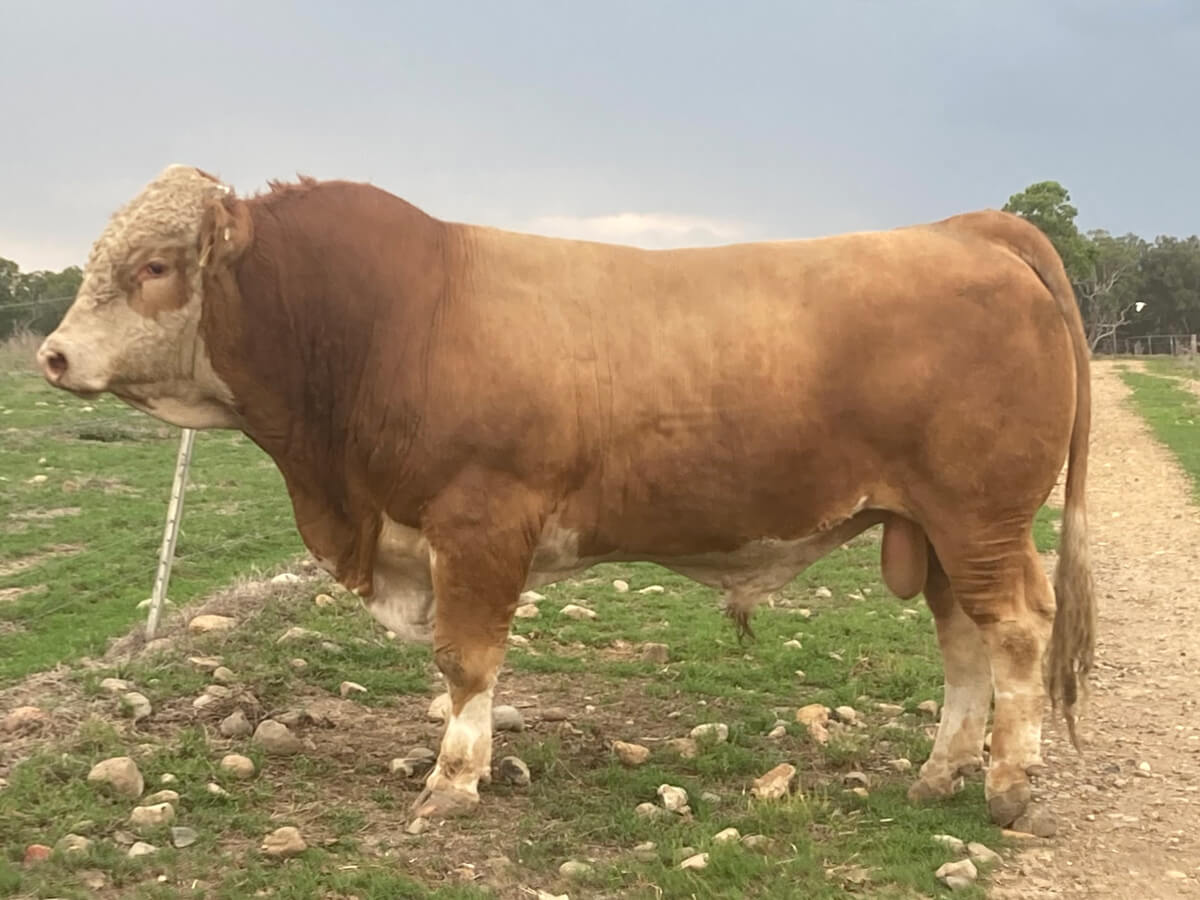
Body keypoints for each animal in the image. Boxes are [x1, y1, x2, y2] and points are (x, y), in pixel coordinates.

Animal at [36, 164, 1095, 829]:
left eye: (155, 266)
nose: (50, 354)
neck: (387, 319)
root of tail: (968, 230)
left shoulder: (478, 524)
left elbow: (466, 661)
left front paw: (453, 781)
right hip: (937, 528)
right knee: (964, 641)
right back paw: (939, 774)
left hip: (981, 518)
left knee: (1017, 631)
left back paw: (1006, 788)